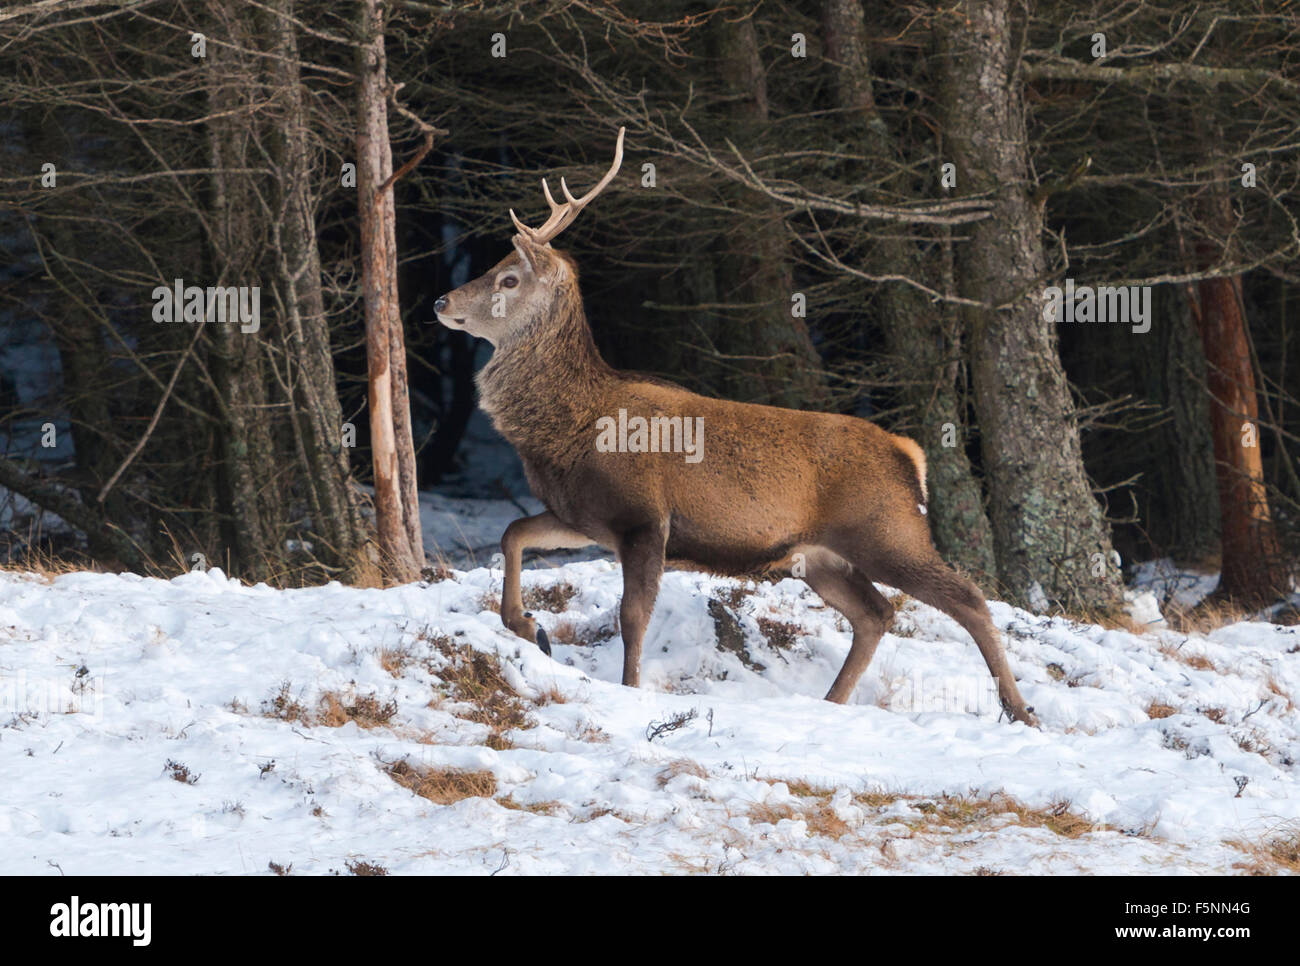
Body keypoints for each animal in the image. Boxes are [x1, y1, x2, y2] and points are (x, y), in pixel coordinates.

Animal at [433, 128, 1038, 726]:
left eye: (509, 278)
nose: (441, 298)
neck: (575, 426)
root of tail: (909, 454)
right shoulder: (587, 519)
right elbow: (514, 533)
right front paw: (529, 628)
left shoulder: (646, 516)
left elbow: (633, 615)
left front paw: (629, 687)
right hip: (823, 557)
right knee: (876, 613)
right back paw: (832, 703)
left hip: (887, 528)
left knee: (966, 597)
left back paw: (1019, 709)